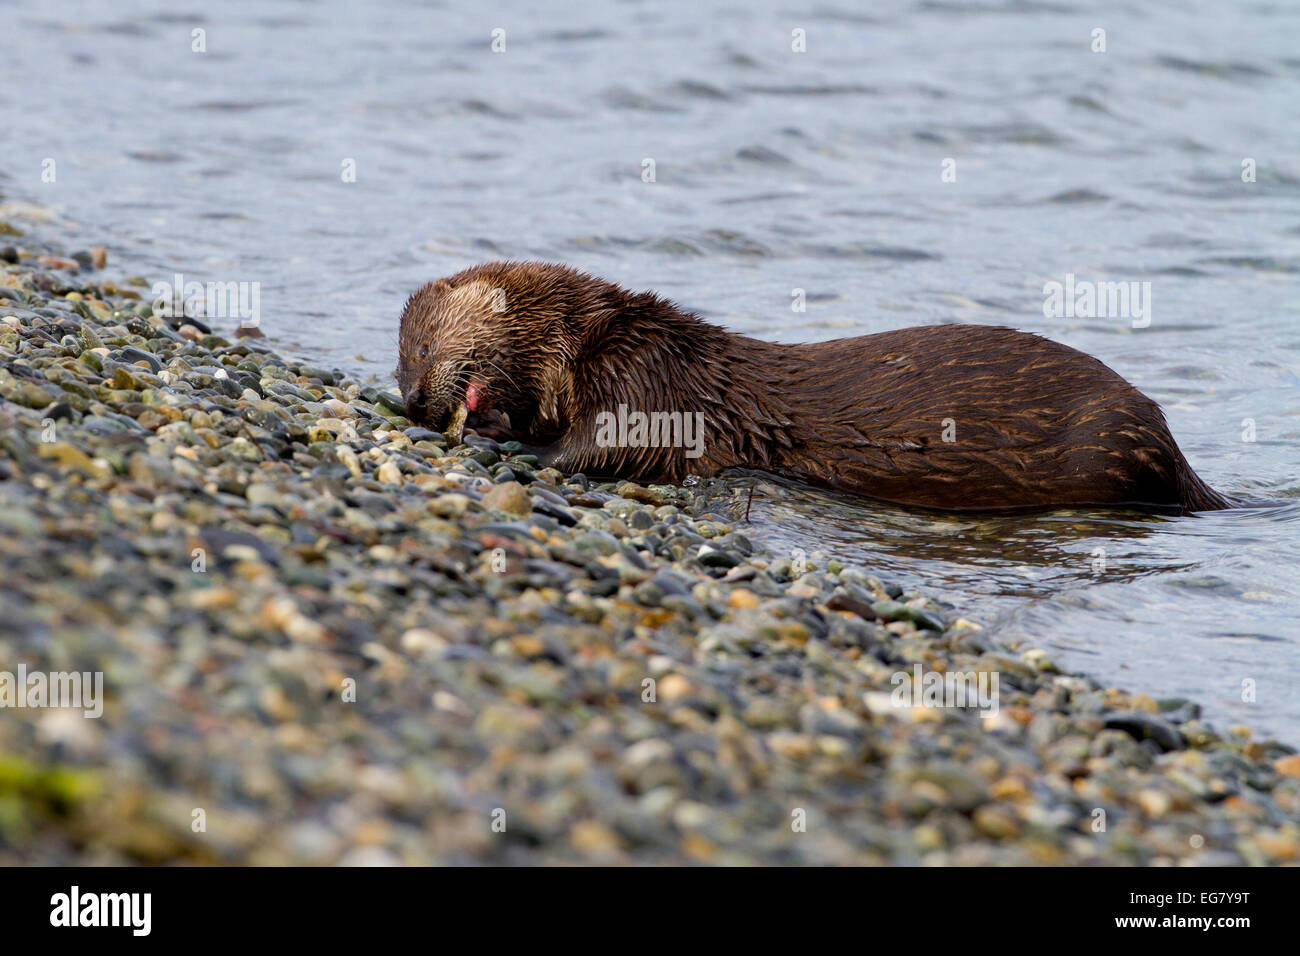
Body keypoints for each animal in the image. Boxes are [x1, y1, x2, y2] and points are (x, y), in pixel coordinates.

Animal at [395, 261, 1229, 513]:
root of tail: (1171, 443)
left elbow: (606, 450)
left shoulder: (644, 383)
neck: (587, 344)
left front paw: (524, 454)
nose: (411, 400)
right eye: (398, 362)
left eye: (423, 348)